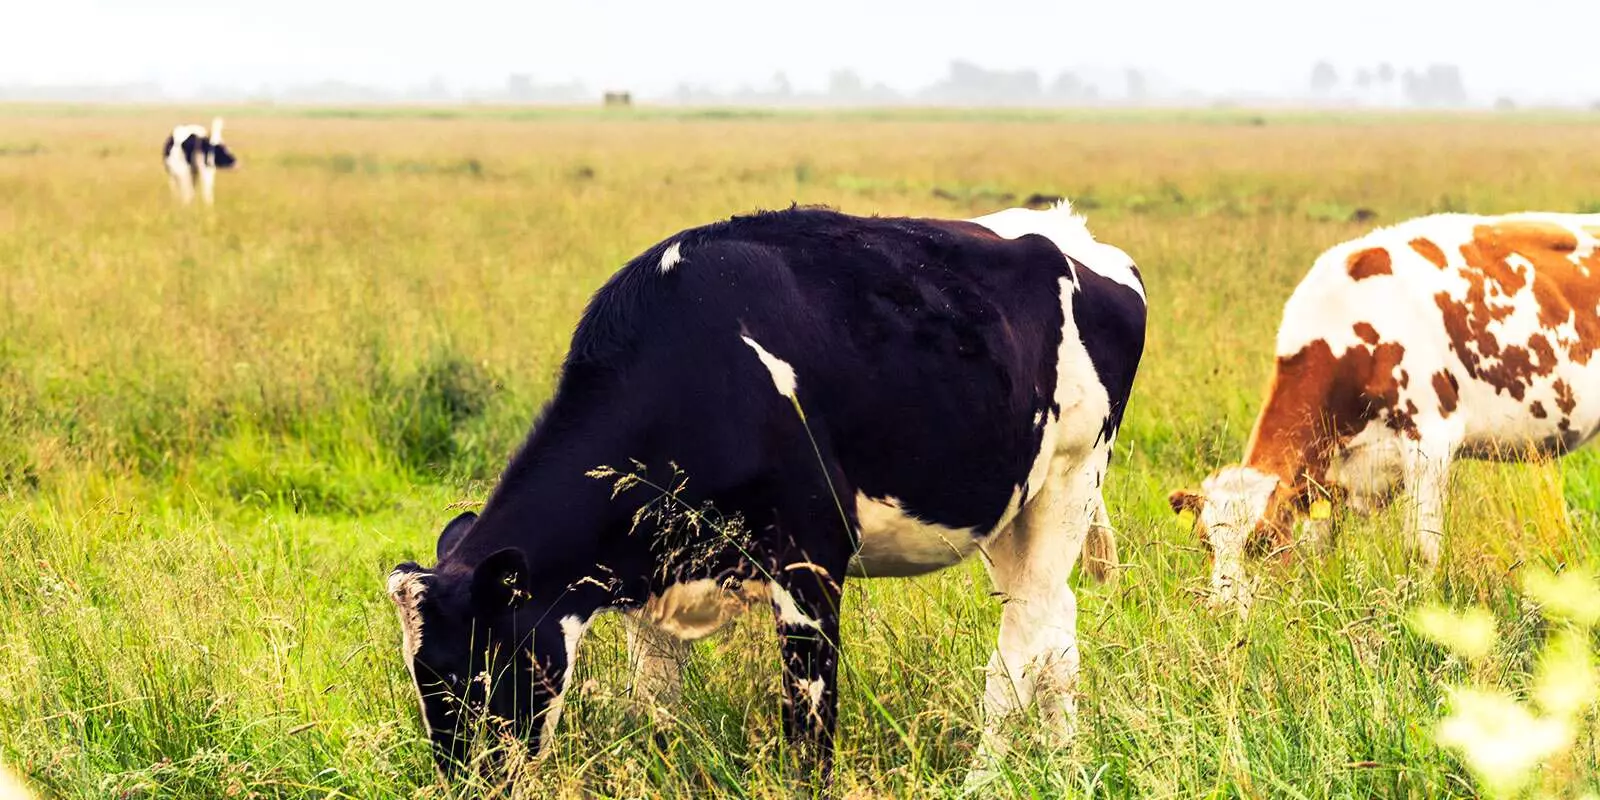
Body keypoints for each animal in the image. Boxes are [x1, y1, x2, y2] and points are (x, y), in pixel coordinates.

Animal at [382, 201, 1145, 780]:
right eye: (420, 679)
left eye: (474, 671)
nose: (464, 781)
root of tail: (1073, 234)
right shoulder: (651, 589)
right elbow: (654, 708)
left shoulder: (812, 557)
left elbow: (809, 726)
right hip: (1012, 508)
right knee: (1057, 631)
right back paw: (1065, 765)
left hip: (1072, 475)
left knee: (1022, 648)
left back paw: (982, 779)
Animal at [1171, 212, 1600, 611]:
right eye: (1206, 542)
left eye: (1262, 541)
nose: (1222, 609)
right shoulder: (1328, 477)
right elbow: (1316, 552)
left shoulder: (1431, 440)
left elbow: (1421, 550)